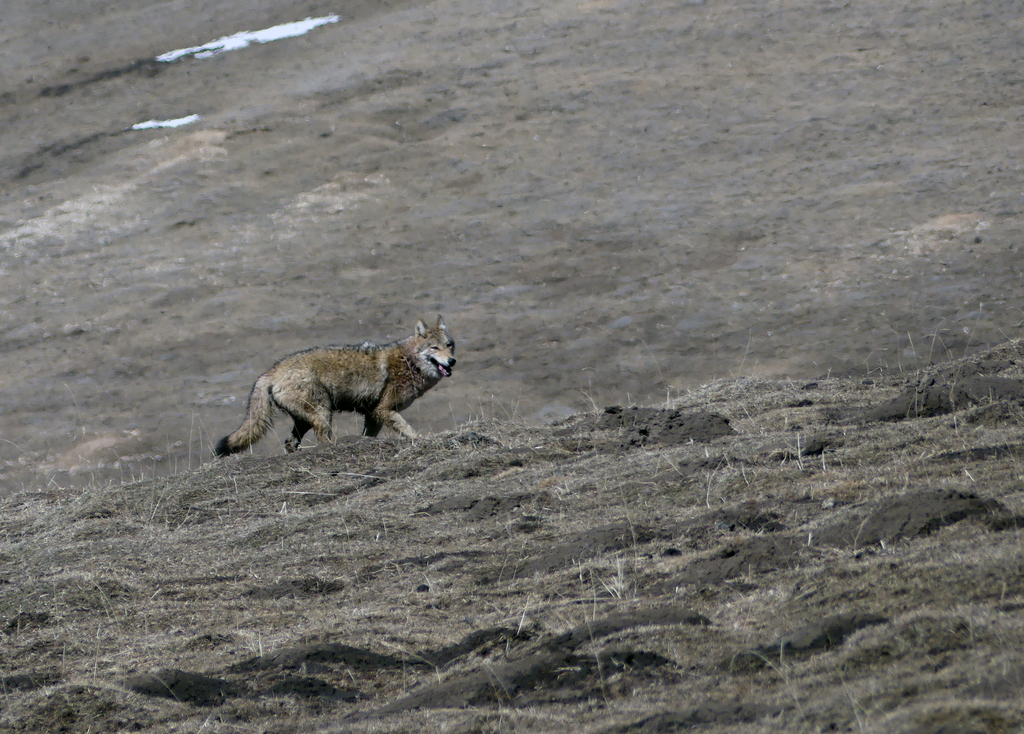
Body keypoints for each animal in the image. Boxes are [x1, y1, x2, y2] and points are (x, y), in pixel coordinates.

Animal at [214, 316, 455, 456]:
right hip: (323, 414)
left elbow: (369, 435)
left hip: (307, 419)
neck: (409, 362)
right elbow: (410, 431)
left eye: (449, 345)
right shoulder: (383, 410)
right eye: (434, 348)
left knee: (290, 443)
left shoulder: (372, 415)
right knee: (322, 441)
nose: (452, 361)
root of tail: (270, 371)